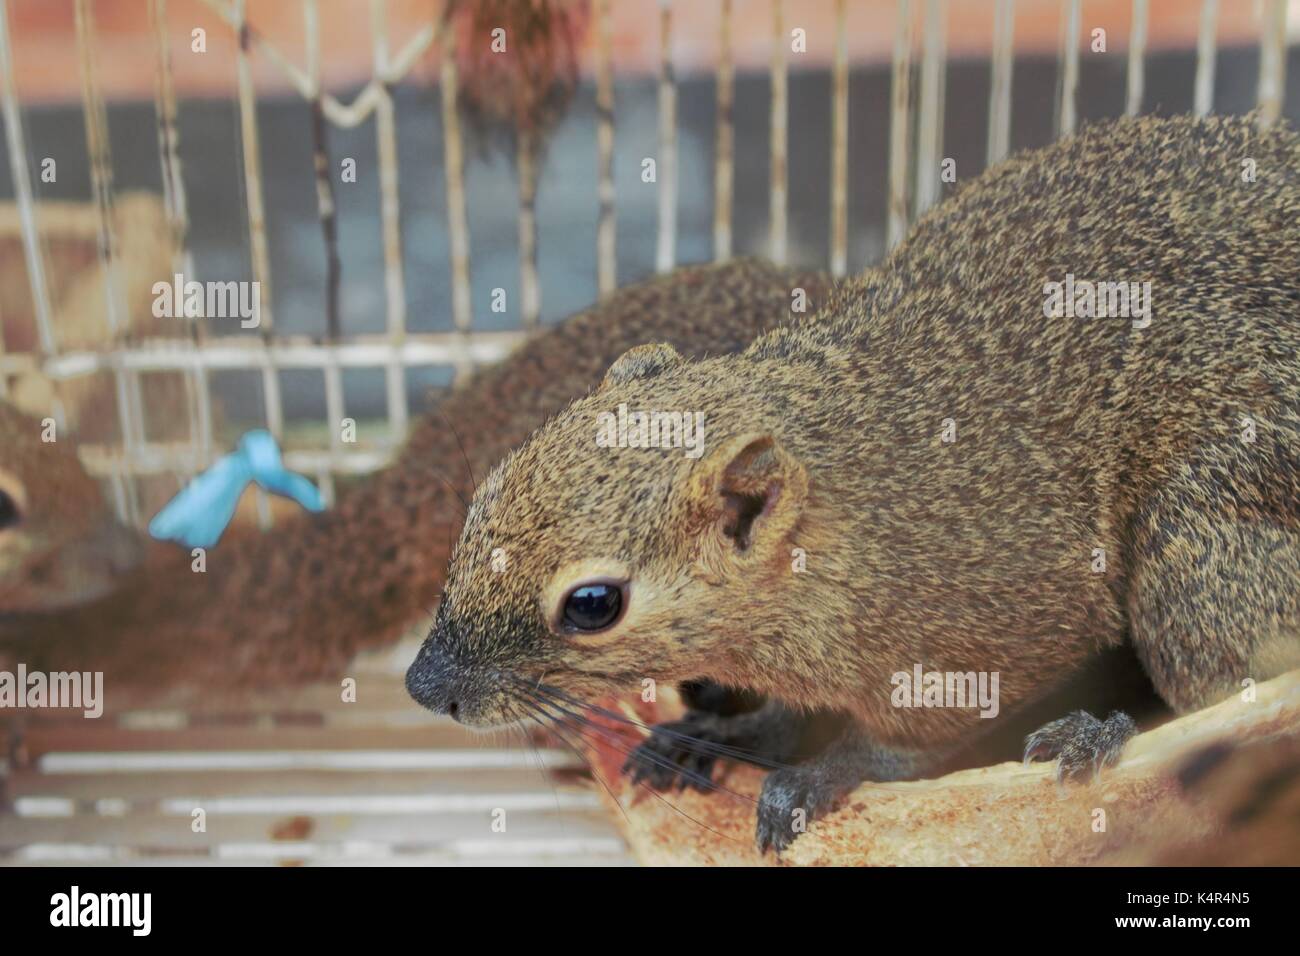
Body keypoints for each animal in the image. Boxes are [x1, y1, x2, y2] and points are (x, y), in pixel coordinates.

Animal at [405, 114, 1300, 853]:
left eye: (593, 605)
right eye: (481, 498)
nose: (423, 686)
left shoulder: (997, 633)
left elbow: (899, 744)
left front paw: (818, 772)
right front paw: (737, 734)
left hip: (1194, 563)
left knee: (1209, 695)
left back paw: (1103, 730)